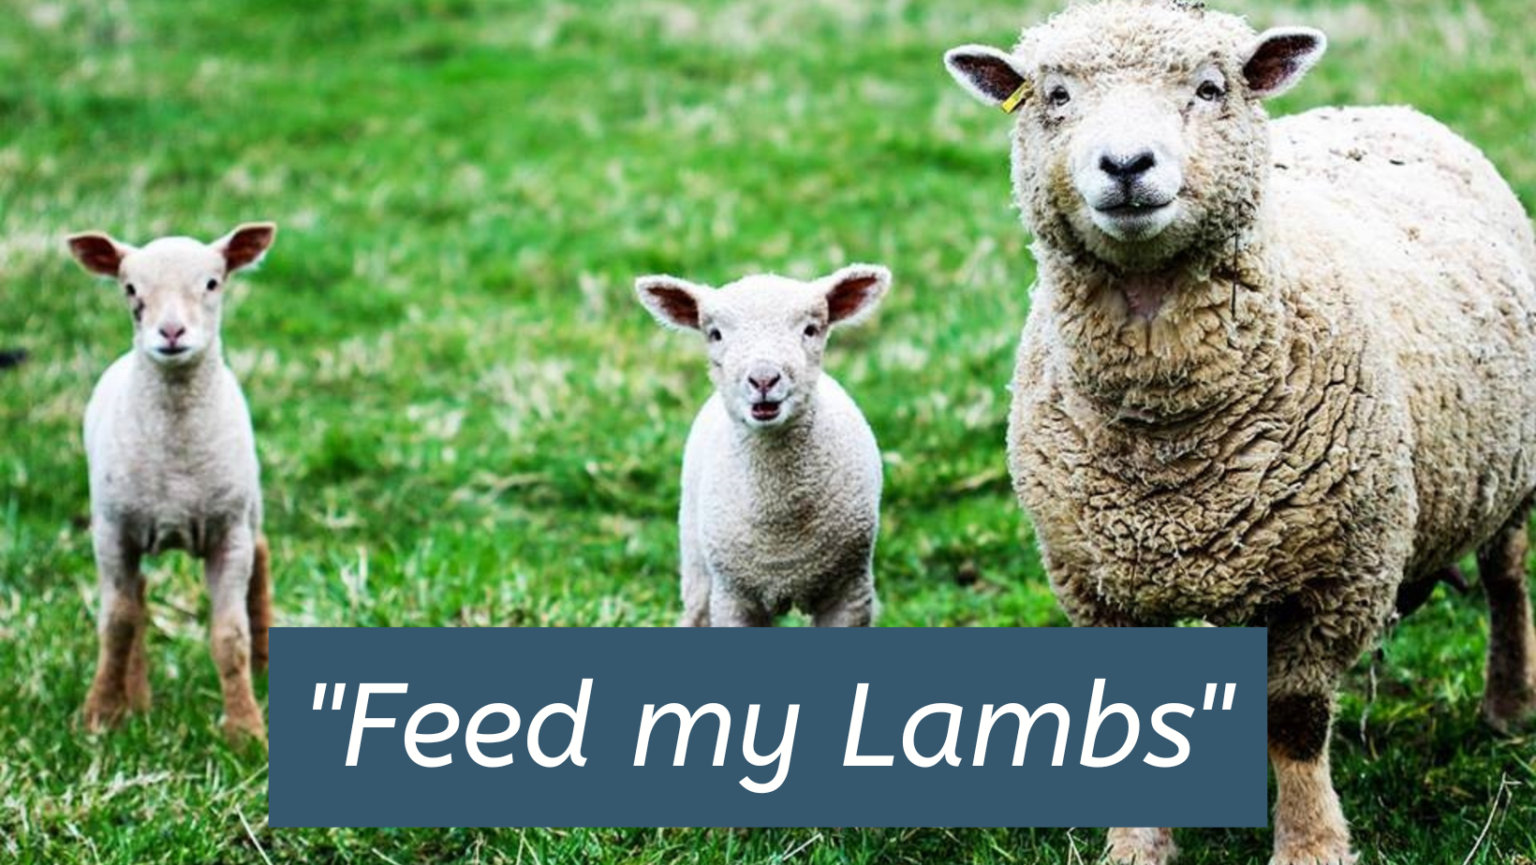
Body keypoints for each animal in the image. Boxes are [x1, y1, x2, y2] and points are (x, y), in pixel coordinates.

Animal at [67, 223, 278, 745]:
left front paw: (245, 731)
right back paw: (137, 699)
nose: (171, 332)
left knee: (263, 556)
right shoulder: (112, 533)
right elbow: (117, 624)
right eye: (130, 289)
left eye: (212, 283)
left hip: (248, 505)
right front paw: (100, 713)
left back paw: (264, 669)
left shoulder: (229, 535)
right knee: (137, 596)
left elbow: (230, 637)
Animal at [635, 266, 890, 627]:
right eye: (715, 334)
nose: (764, 380)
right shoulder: (733, 597)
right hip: (696, 558)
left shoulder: (850, 592)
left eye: (810, 330)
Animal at [944, 2, 1536, 863]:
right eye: (1055, 94)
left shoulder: (1333, 576)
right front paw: (1137, 845)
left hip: (1510, 476)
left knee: (1506, 579)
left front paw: (1311, 842)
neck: (1170, 438)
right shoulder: (1097, 581)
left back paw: (1508, 705)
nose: (1127, 164)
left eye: (1208, 88)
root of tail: (1386, 108)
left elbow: (1295, 723)